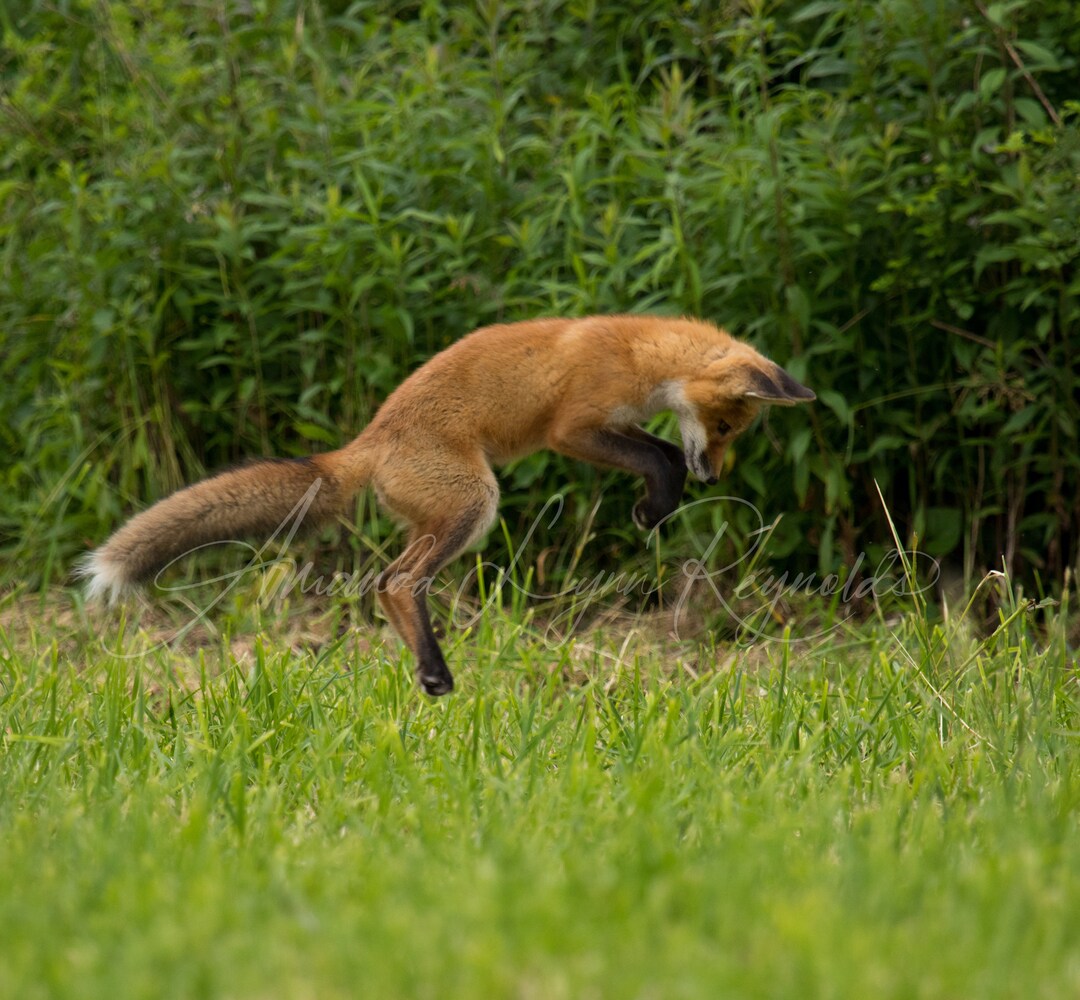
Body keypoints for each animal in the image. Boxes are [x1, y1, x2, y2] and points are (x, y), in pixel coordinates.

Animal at [81, 314, 815, 695]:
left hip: (448, 511)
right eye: (725, 427)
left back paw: (426, 670)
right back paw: (435, 670)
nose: (713, 474)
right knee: (396, 581)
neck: (637, 349)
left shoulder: (616, 425)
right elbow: (658, 455)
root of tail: (369, 441)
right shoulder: (574, 427)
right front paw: (657, 504)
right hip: (475, 503)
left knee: (388, 583)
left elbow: (659, 449)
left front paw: (658, 505)